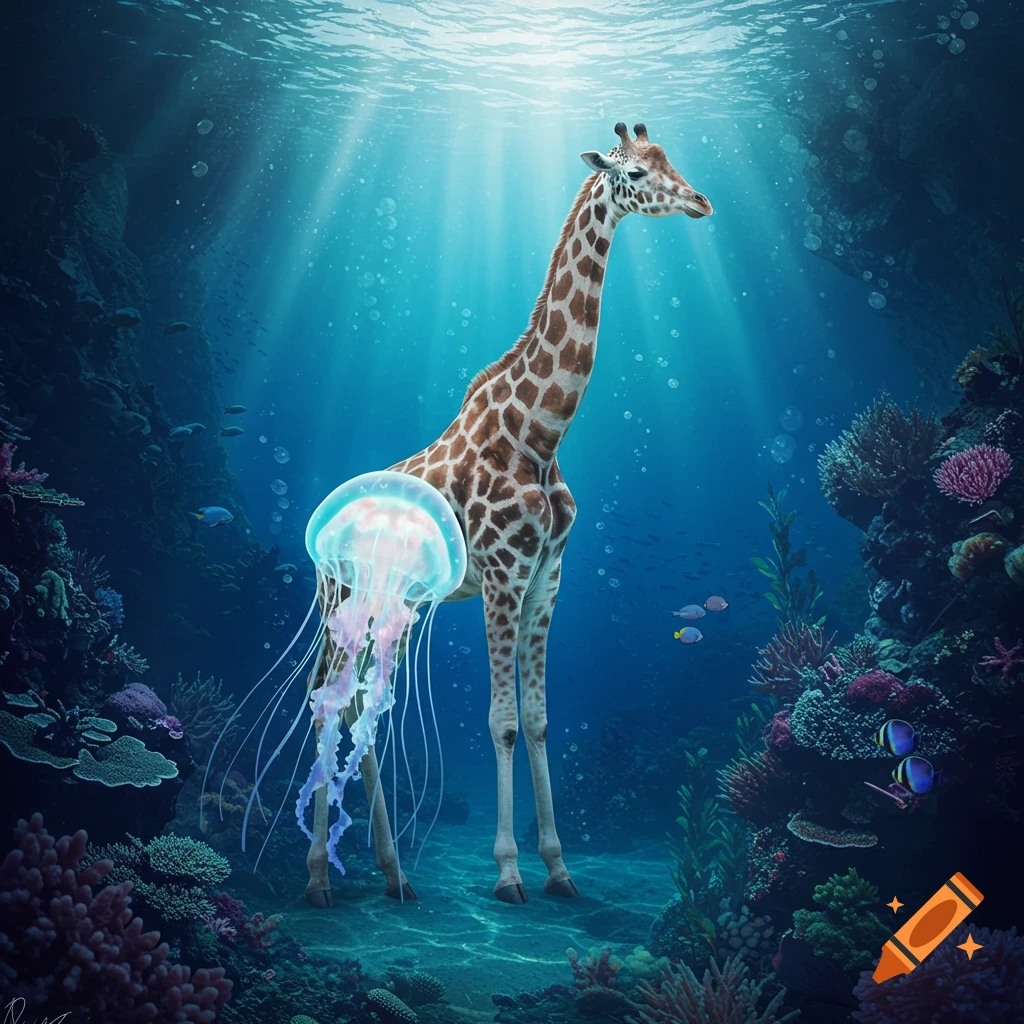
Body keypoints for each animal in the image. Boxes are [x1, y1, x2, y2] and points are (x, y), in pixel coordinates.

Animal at [303, 121, 712, 907]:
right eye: (635, 171)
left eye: (671, 159)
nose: (702, 202)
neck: (540, 432)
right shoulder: (502, 575)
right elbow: (500, 724)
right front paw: (509, 872)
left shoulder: (547, 578)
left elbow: (541, 720)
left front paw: (559, 867)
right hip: (341, 602)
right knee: (326, 703)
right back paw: (316, 881)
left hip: (389, 609)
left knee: (359, 706)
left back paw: (395, 873)